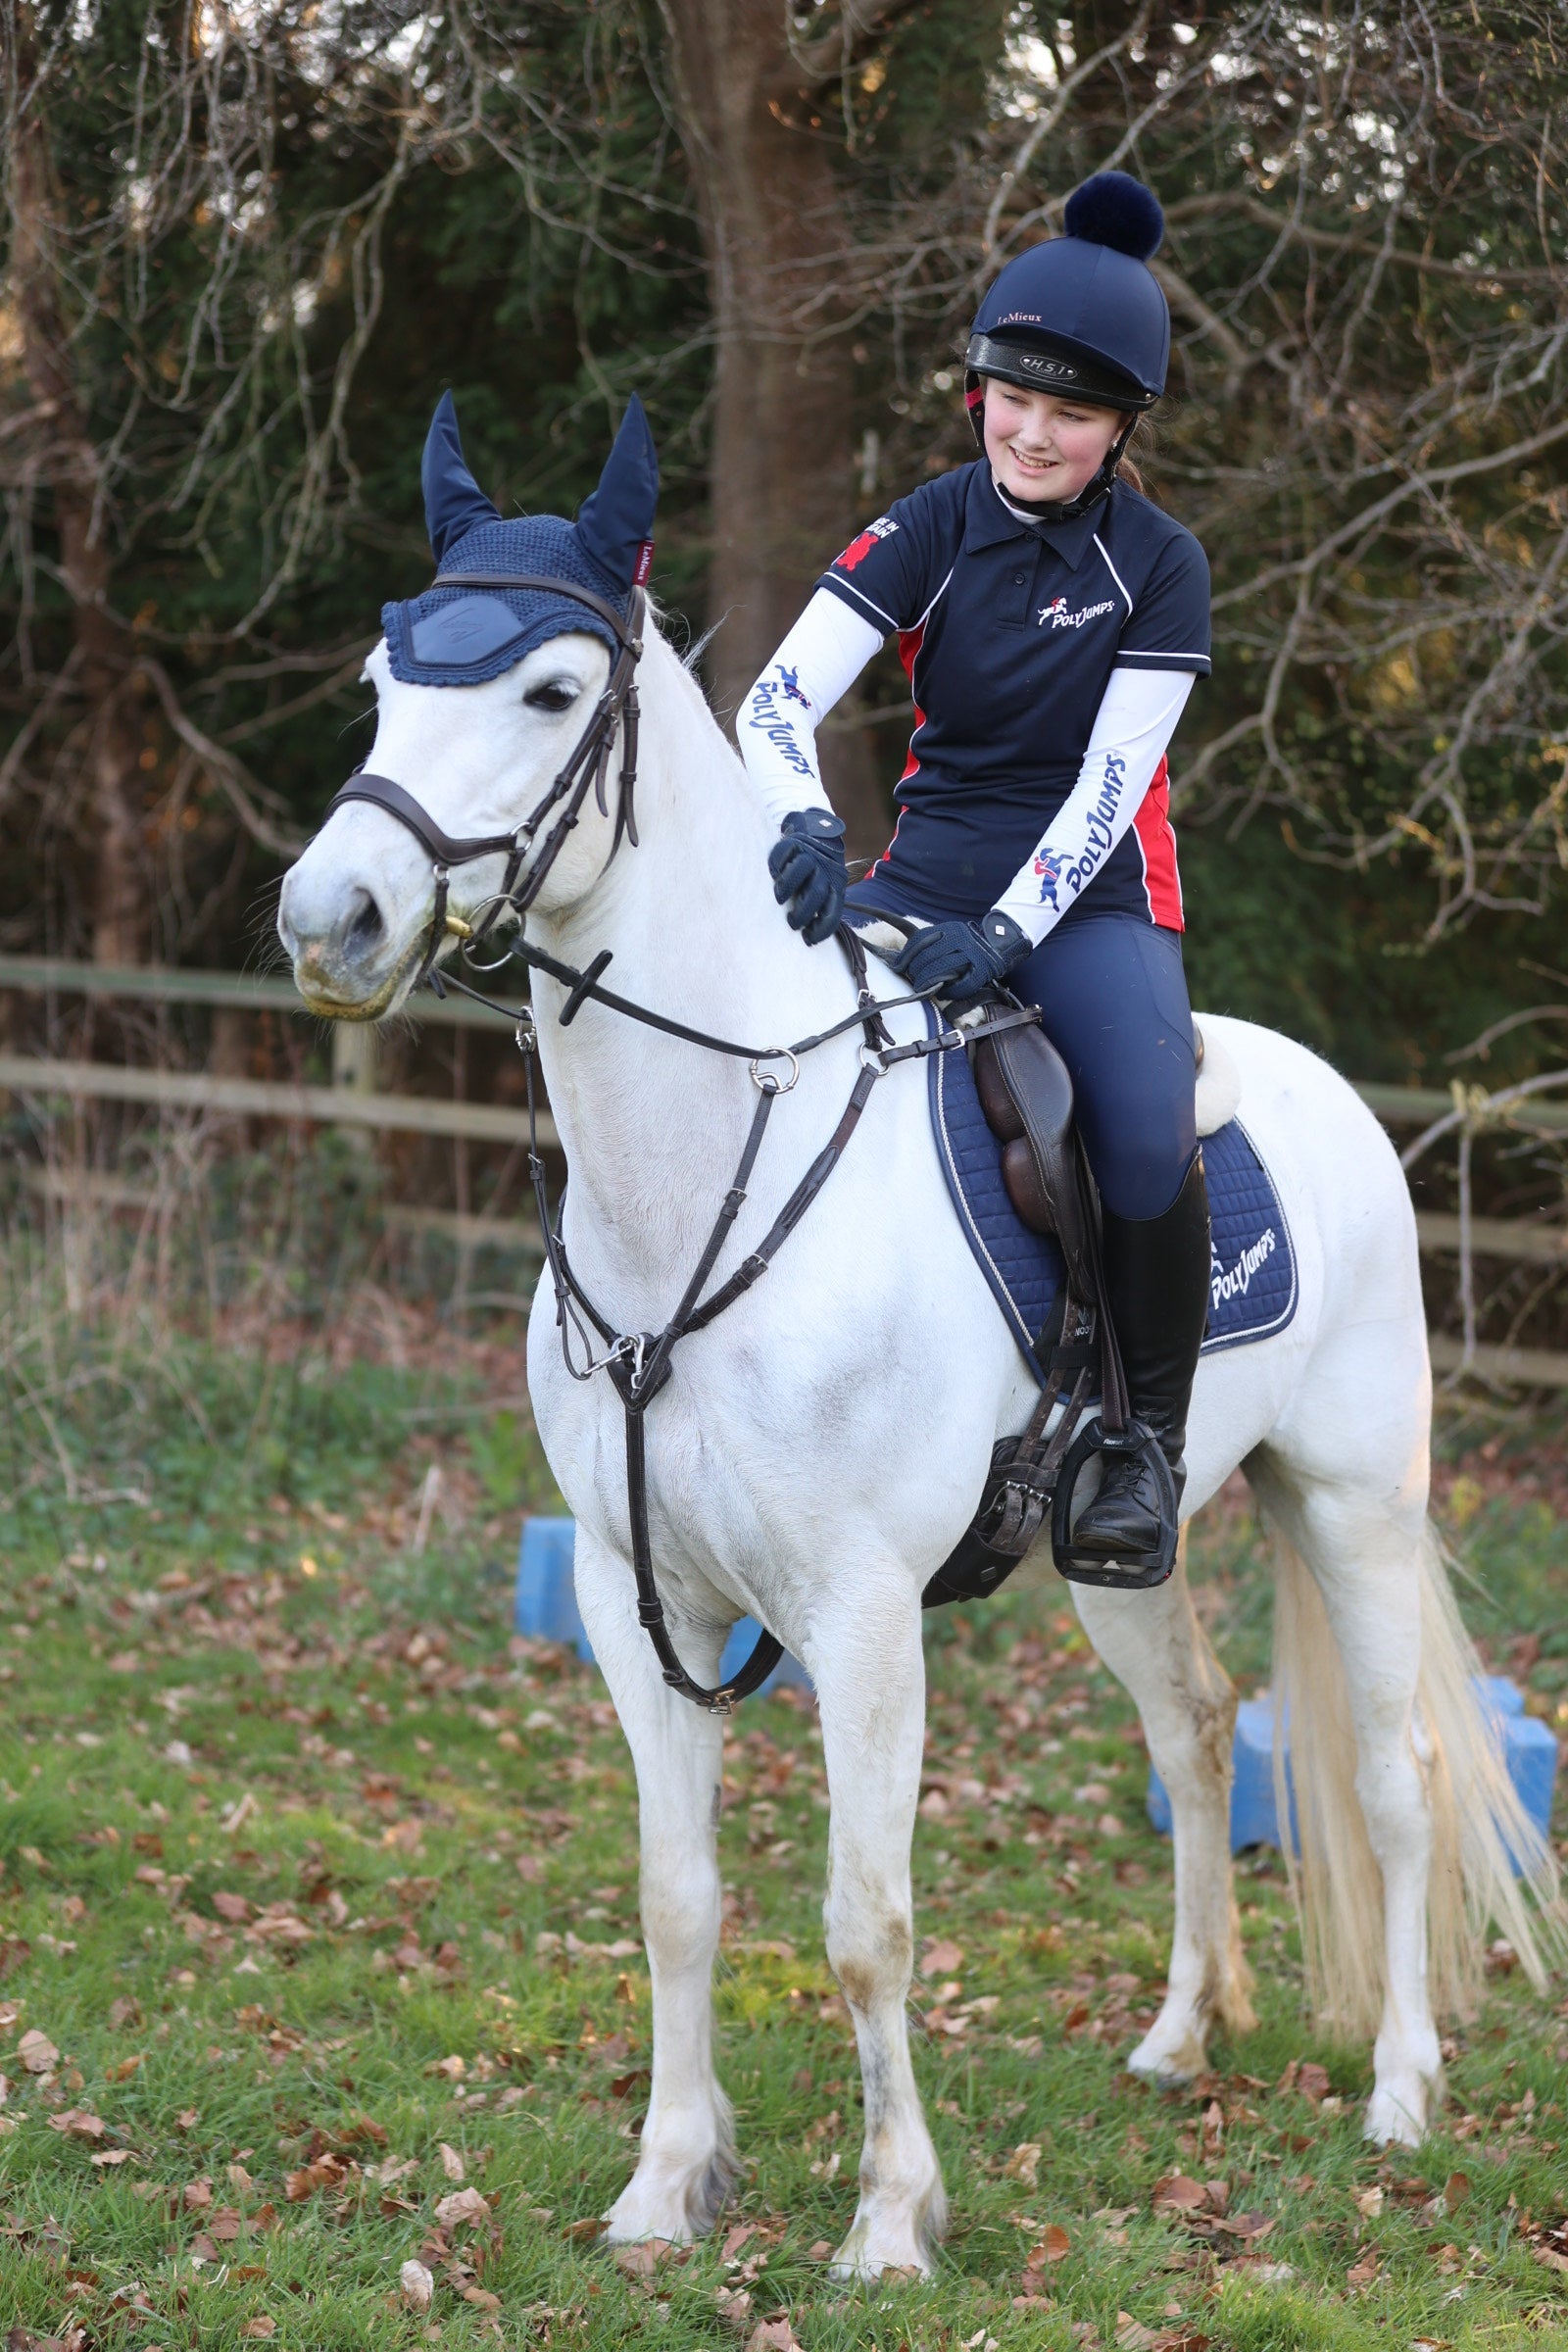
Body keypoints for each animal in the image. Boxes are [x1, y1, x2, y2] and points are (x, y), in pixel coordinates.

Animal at [277, 427, 1556, 2282]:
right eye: (387, 683)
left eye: (548, 688)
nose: (333, 918)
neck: (700, 1182)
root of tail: (1334, 1101)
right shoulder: (633, 1597)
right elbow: (676, 1901)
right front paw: (666, 2191)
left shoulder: (864, 1620)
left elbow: (866, 1924)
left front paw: (890, 2218)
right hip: (1122, 1552)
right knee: (1196, 1733)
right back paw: (1180, 2039)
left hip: (1356, 1505)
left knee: (1396, 1786)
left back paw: (1399, 2091)